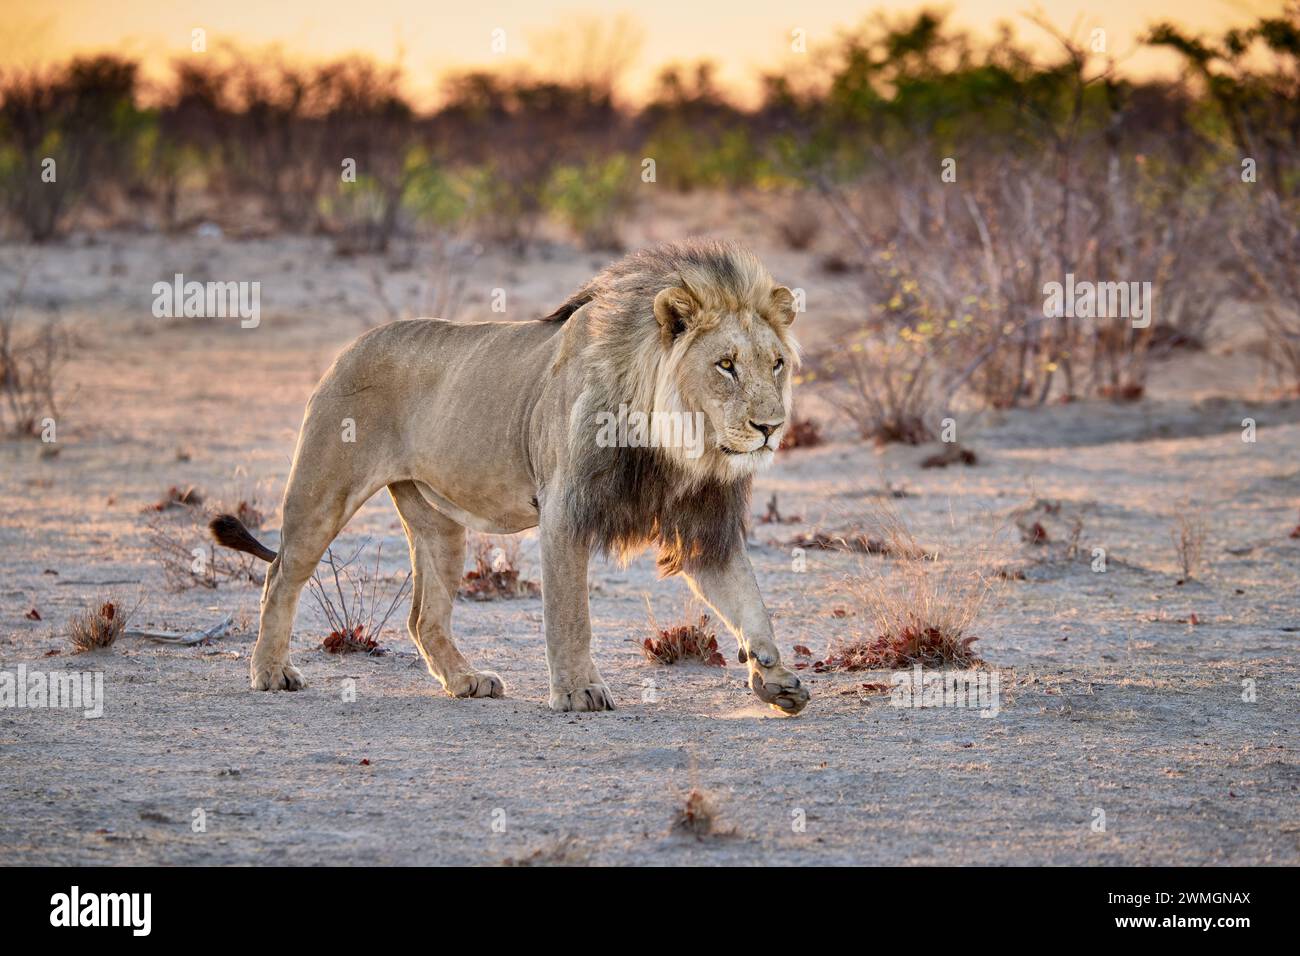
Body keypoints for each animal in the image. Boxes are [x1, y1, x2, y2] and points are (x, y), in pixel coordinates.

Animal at [210, 237, 810, 714]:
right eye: (725, 365)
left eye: (776, 363)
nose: (770, 427)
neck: (680, 446)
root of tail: (350, 347)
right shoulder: (565, 511)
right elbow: (570, 615)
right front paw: (578, 692)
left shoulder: (704, 528)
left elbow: (748, 597)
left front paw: (774, 674)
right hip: (322, 492)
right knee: (280, 576)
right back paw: (271, 673)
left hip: (437, 524)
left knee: (423, 618)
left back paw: (466, 681)